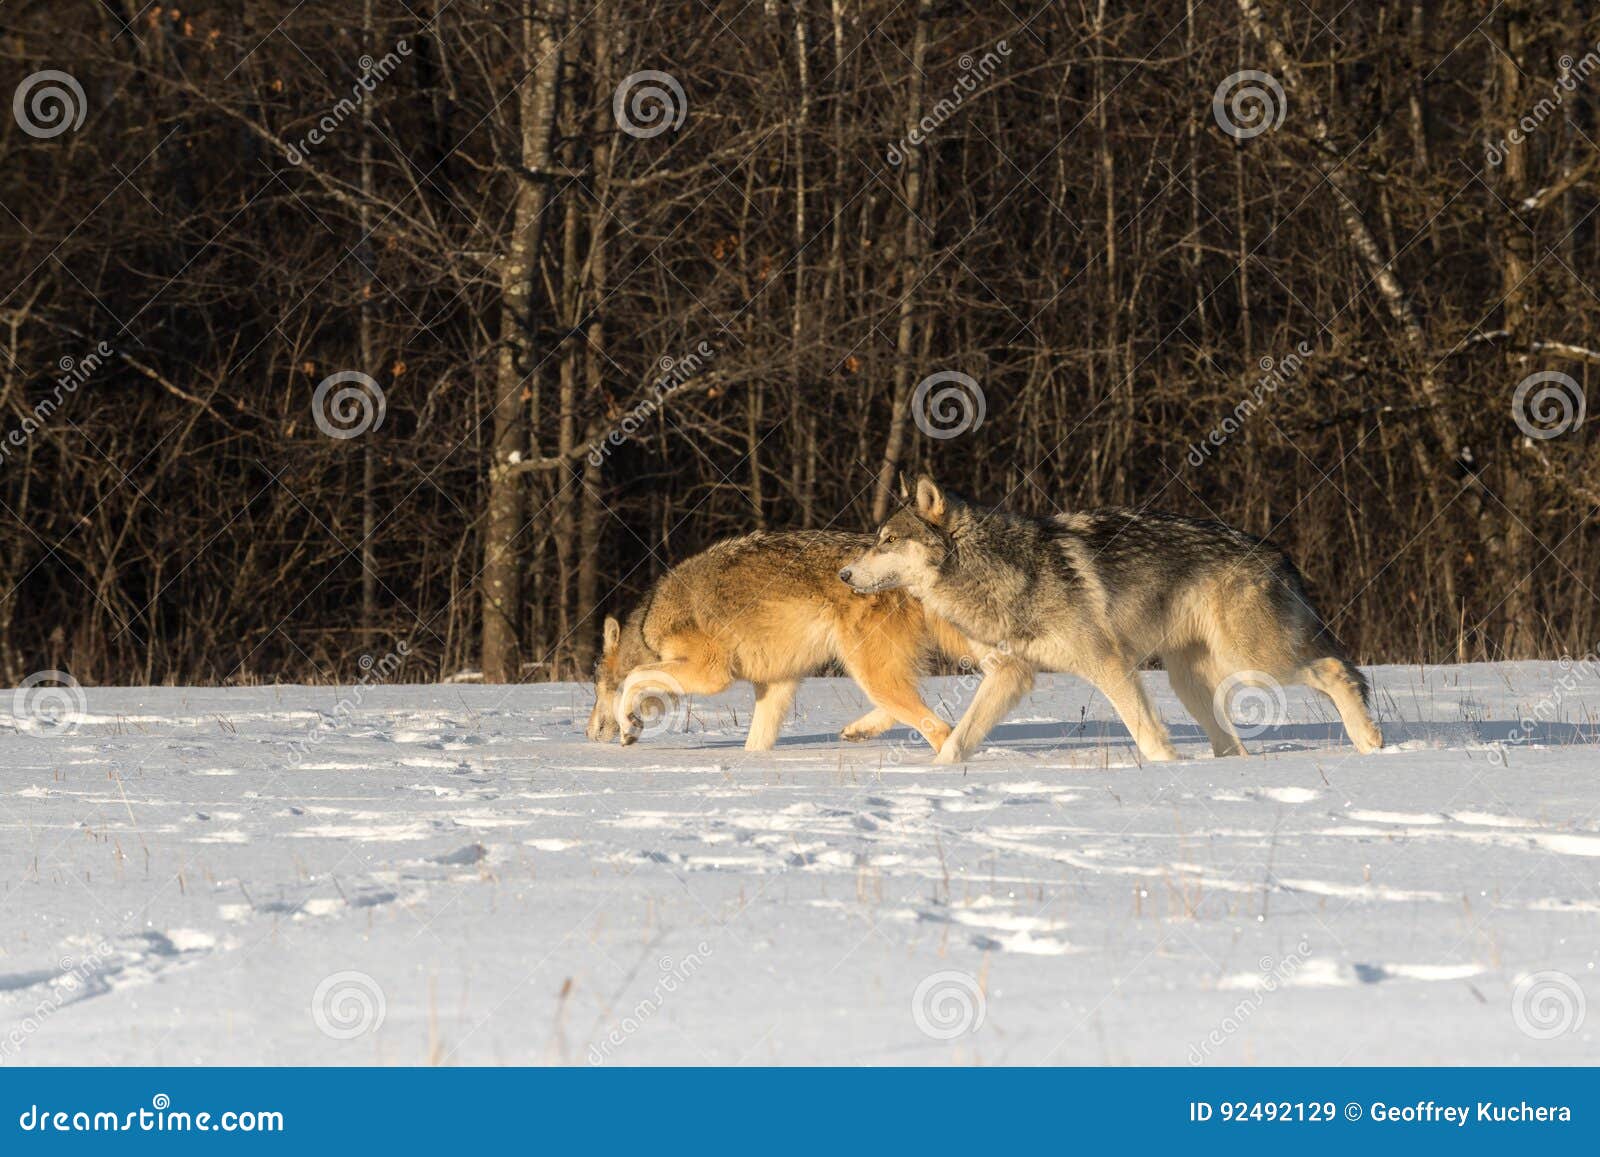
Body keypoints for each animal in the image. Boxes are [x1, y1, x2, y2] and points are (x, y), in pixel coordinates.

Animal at [585, 529, 993, 753]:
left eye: (597, 690)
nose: (588, 734)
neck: (649, 625)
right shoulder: (776, 684)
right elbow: (755, 743)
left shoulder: (711, 675)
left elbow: (634, 678)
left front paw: (629, 726)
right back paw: (859, 730)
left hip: (866, 671)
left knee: (939, 728)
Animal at [839, 477, 1382, 764]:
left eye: (888, 540)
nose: (844, 574)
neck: (992, 566)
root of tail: (1277, 553)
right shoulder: (1010, 674)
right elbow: (958, 739)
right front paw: (935, 774)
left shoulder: (1108, 664)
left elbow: (1145, 730)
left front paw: (1165, 769)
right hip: (1192, 680)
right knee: (1232, 740)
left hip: (1252, 661)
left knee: (1336, 671)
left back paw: (1369, 742)